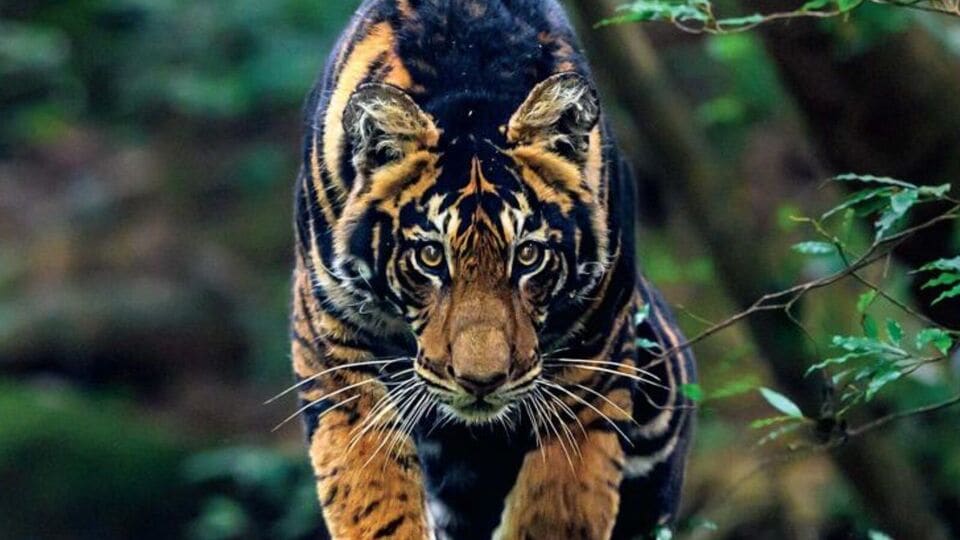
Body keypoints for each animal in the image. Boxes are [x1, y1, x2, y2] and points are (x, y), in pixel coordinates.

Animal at [288, 1, 696, 538]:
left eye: (527, 256)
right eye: (430, 257)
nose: (481, 381)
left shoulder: (594, 360)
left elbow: (558, 503)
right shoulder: (333, 346)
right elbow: (373, 495)